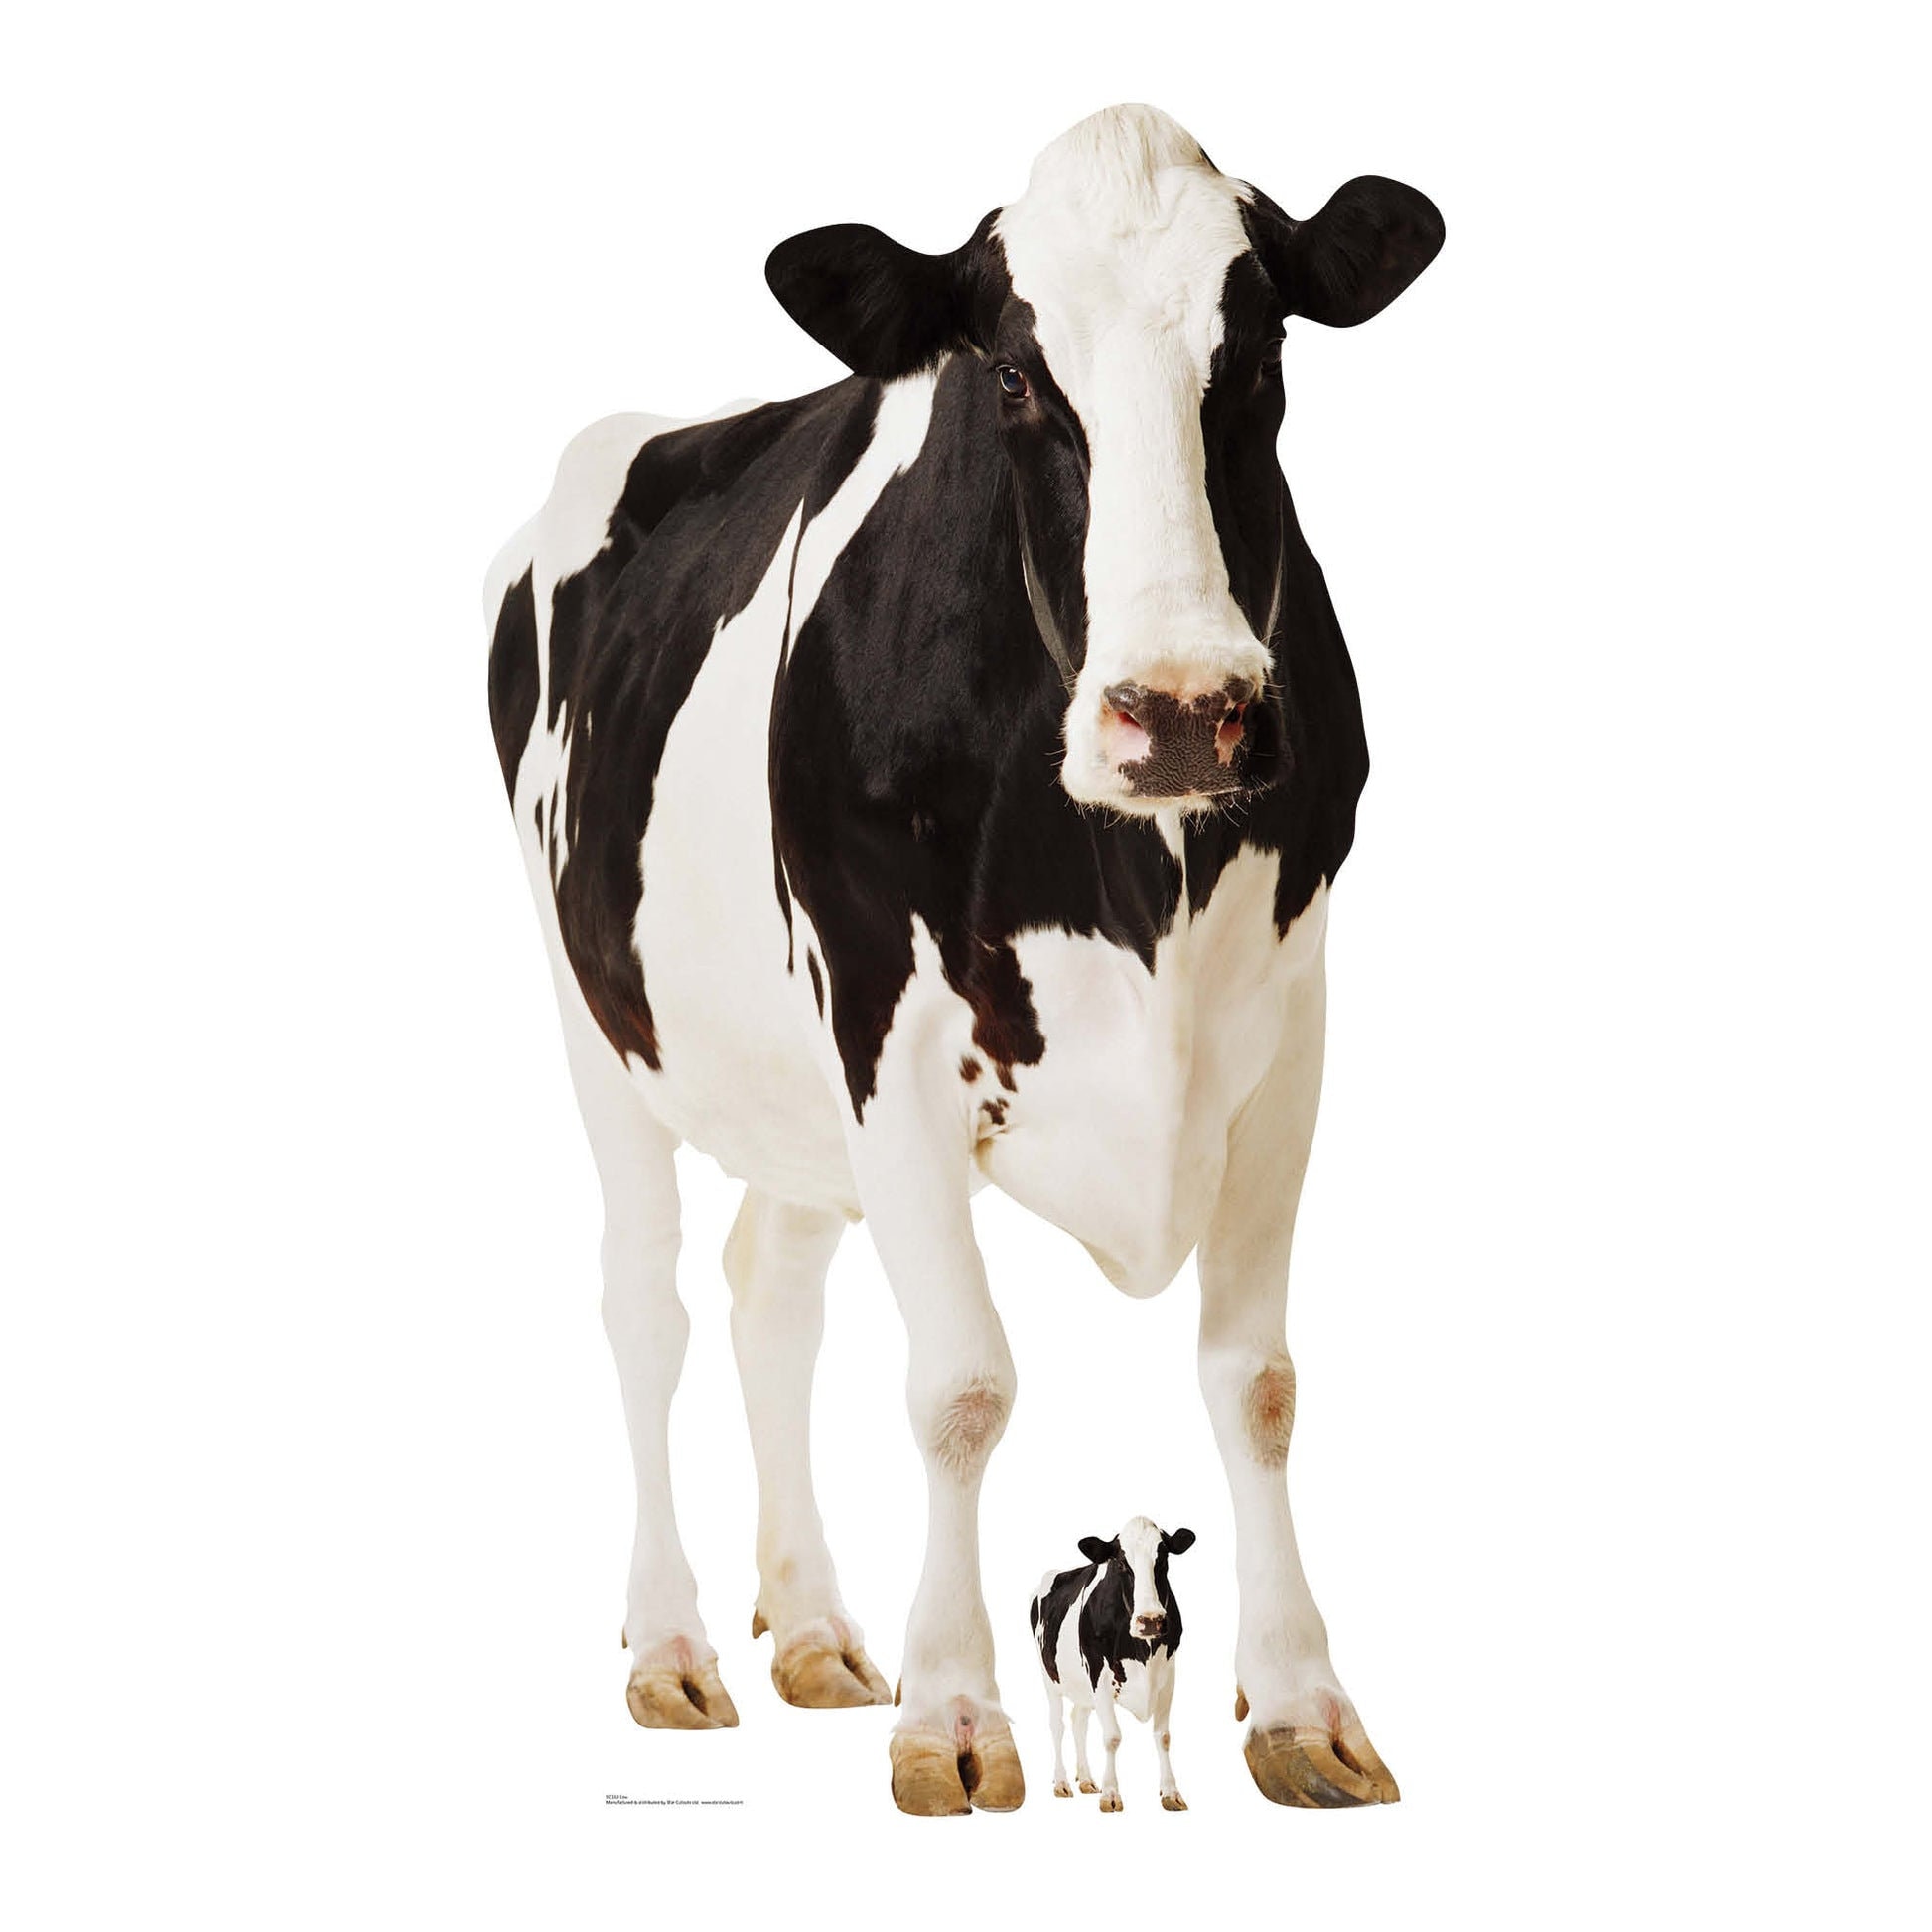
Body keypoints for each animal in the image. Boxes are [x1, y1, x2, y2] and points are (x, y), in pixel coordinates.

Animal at [1031, 1519, 1196, 1812]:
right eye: (1120, 1562)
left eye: (1163, 1557)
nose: (1150, 1620)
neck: (1142, 1651)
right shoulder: (1099, 1675)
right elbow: (1112, 1737)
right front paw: (1110, 1794)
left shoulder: (1168, 1675)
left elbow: (1163, 1736)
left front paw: (1170, 1792)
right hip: (1049, 1676)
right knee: (1057, 1726)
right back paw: (1061, 1782)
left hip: (1083, 1689)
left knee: (1079, 1722)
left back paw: (1086, 1779)